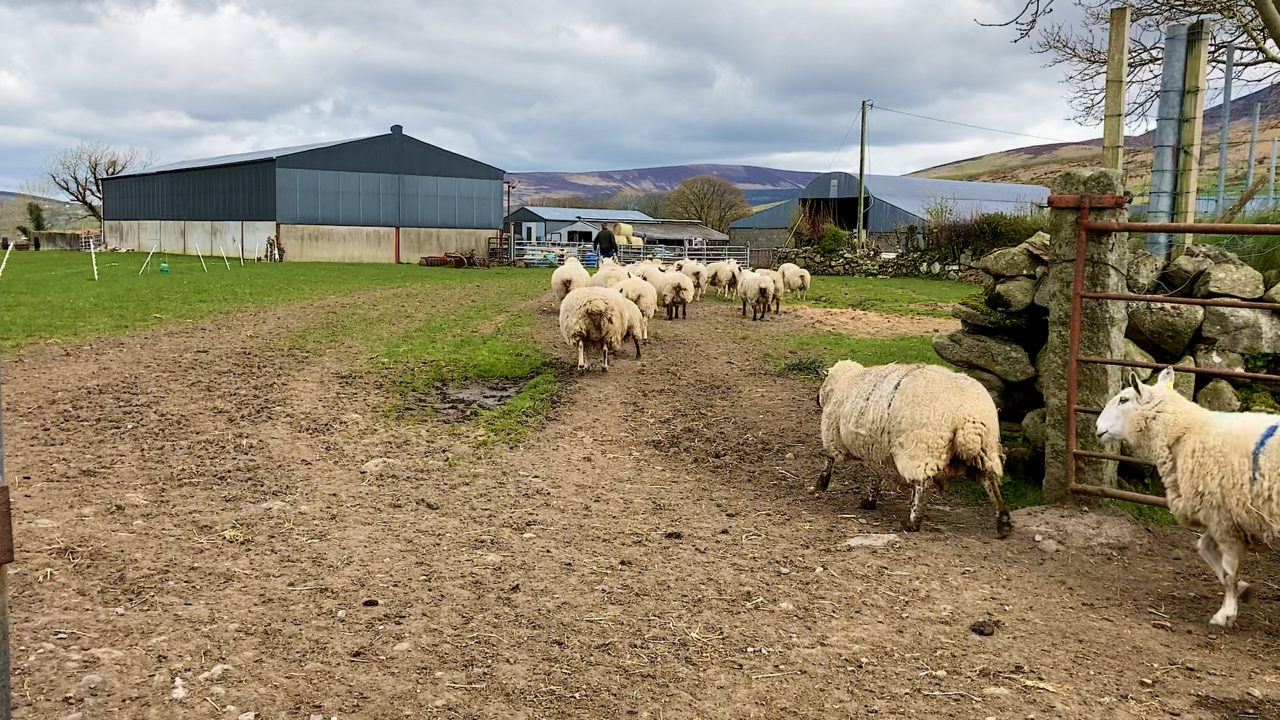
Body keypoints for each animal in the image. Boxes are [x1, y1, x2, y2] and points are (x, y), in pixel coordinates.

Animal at [814, 361, 1011, 538]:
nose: (816, 399)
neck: (846, 380)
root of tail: (968, 415)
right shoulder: (875, 451)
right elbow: (876, 476)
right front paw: (869, 500)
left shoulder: (833, 434)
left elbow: (829, 458)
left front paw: (821, 484)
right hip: (985, 451)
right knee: (991, 481)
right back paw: (1003, 523)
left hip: (922, 449)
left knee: (922, 484)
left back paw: (913, 522)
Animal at [1096, 366, 1280, 628]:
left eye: (1123, 399)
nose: (1096, 427)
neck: (1186, 431)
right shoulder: (1223, 515)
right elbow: (1203, 547)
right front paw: (1243, 590)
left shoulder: (1223, 516)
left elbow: (1228, 571)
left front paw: (1226, 613)